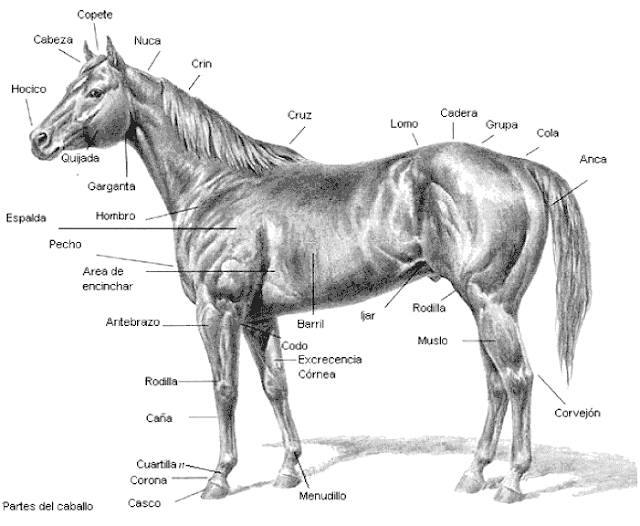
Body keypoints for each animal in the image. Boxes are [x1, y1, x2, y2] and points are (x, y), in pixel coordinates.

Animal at [29, 38, 591, 503]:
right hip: (487, 308)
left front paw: (219, 478)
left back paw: (512, 482)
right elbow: (275, 385)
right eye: (68, 86)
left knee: (517, 379)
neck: (218, 186)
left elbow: (225, 389)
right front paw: (286, 469)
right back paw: (473, 474)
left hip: (490, 301)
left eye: (95, 90)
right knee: (496, 383)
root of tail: (517, 167)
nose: (39, 139)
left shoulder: (219, 309)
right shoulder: (258, 316)